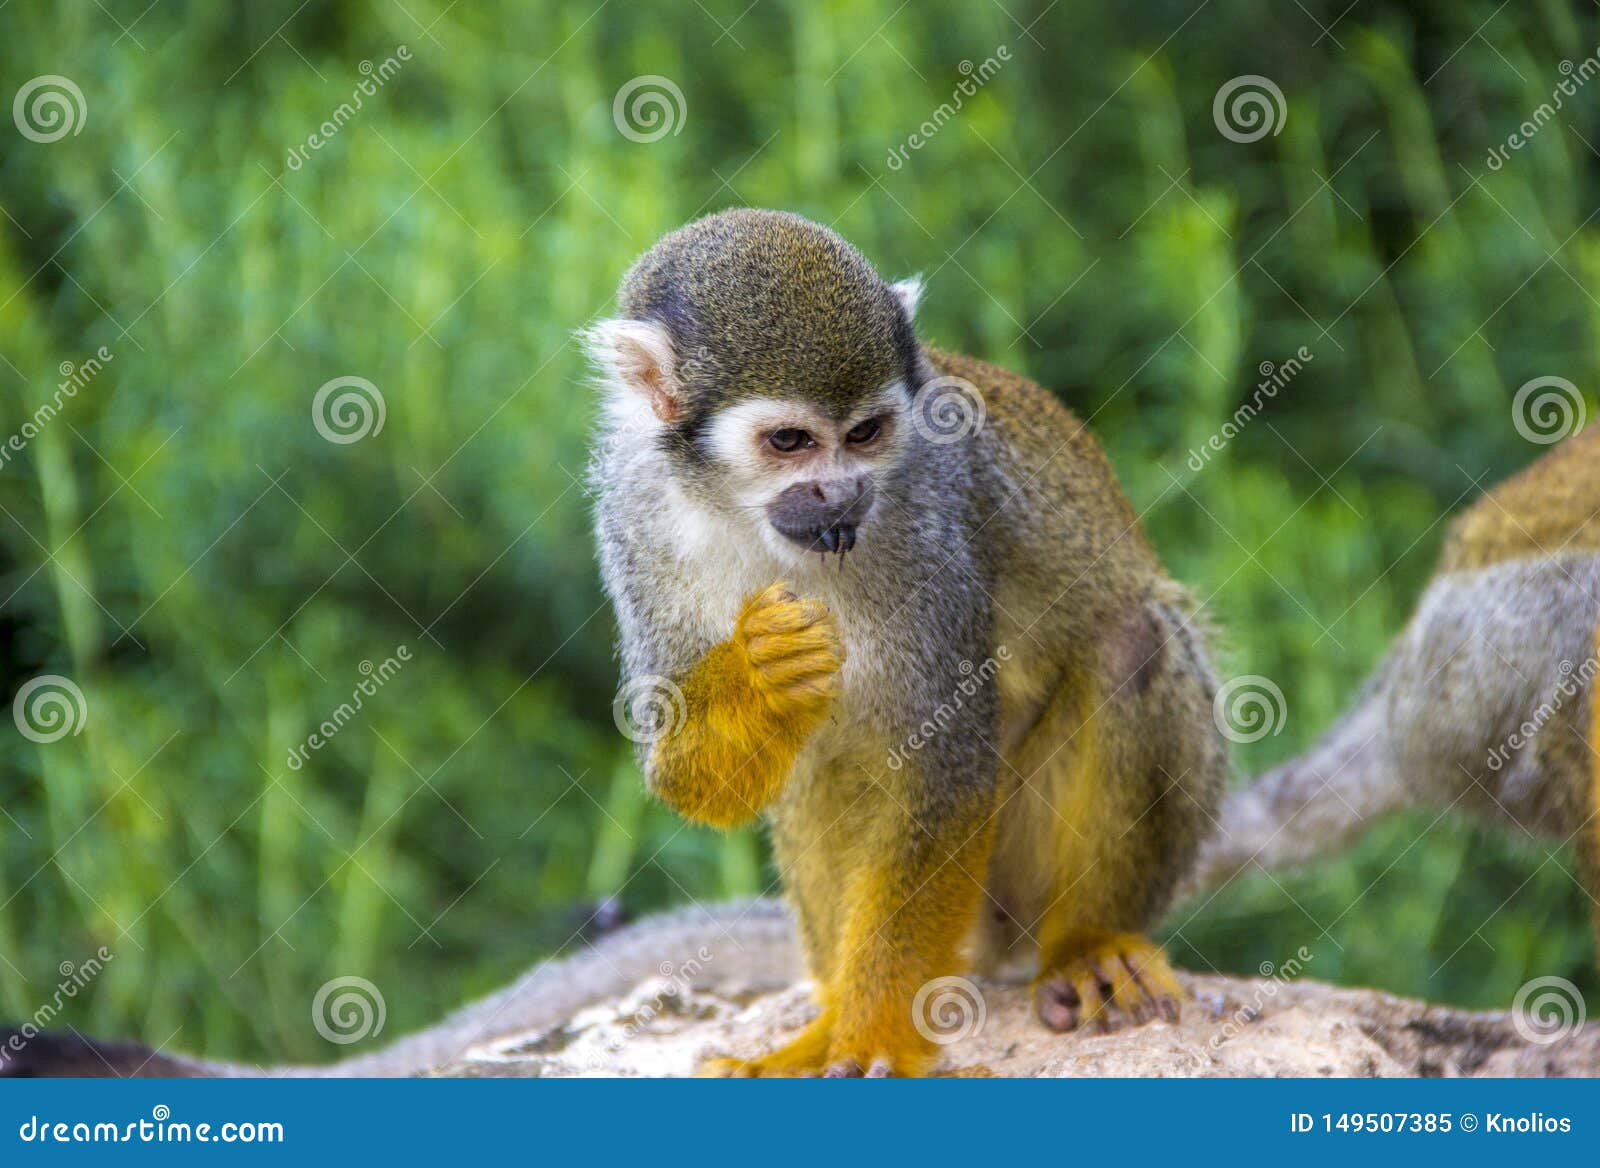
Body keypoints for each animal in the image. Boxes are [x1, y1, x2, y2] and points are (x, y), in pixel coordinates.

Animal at [586, 208, 1227, 1076]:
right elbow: (685, 777)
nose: (840, 496)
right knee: (819, 755)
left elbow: (944, 767)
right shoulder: (632, 514)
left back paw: (1087, 945)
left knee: (1134, 639)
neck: (745, 517)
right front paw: (759, 672)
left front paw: (875, 1039)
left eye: (865, 433)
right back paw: (821, 1021)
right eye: (789, 442)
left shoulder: (930, 520)